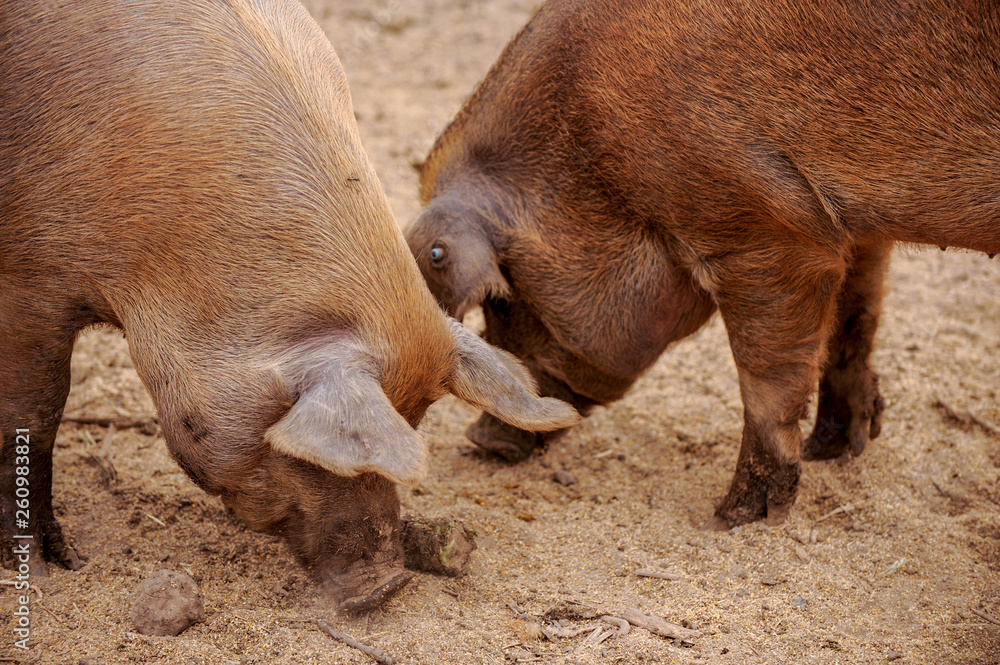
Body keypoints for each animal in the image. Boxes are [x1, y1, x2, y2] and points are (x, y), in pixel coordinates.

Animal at [406, 0, 1000, 529]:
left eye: (503, 304)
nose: (482, 442)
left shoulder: (765, 231)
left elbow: (767, 381)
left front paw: (730, 520)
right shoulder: (858, 229)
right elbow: (855, 320)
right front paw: (834, 450)